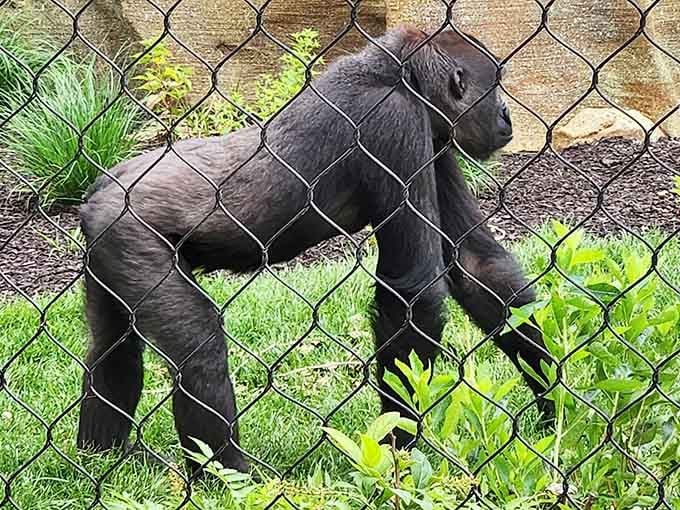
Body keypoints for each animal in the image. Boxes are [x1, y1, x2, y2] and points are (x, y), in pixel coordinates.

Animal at [76, 25, 554, 474]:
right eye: (495, 87)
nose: (507, 115)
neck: (398, 72)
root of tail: (98, 191)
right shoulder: (396, 123)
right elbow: (414, 294)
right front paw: (395, 455)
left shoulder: (435, 142)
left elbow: (476, 266)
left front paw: (551, 400)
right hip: (128, 231)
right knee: (199, 350)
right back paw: (227, 478)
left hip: (106, 242)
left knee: (112, 345)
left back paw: (99, 456)